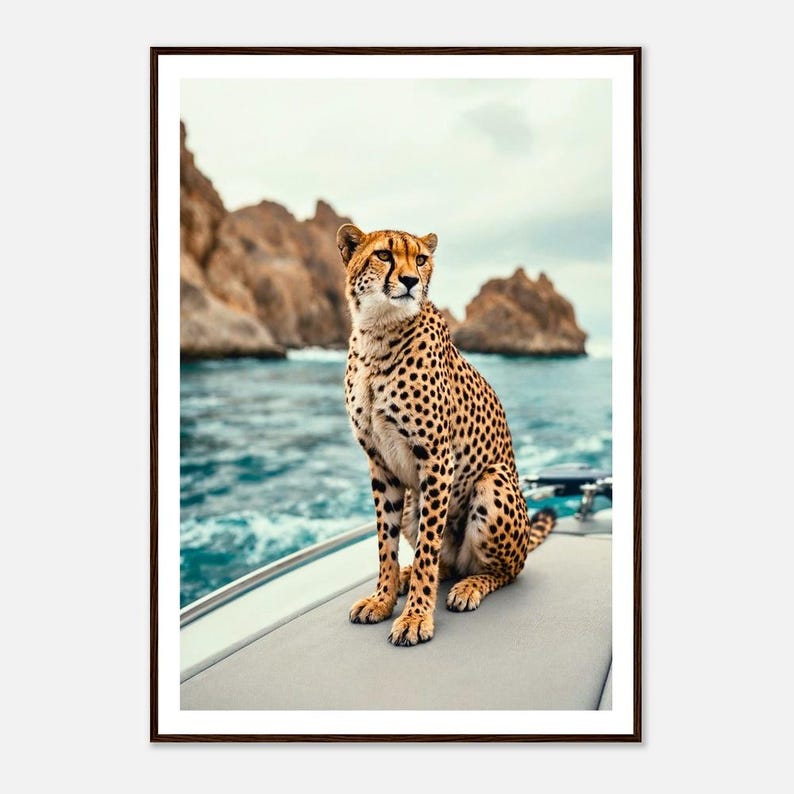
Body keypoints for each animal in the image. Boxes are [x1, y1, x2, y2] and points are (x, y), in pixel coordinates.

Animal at [337, 224, 556, 646]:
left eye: (421, 259)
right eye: (384, 255)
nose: (410, 281)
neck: (378, 332)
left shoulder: (437, 458)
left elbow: (427, 549)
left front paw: (415, 617)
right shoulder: (379, 463)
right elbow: (385, 542)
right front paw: (383, 598)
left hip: (493, 482)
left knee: (503, 571)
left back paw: (468, 586)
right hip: (414, 501)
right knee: (445, 562)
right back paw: (409, 579)